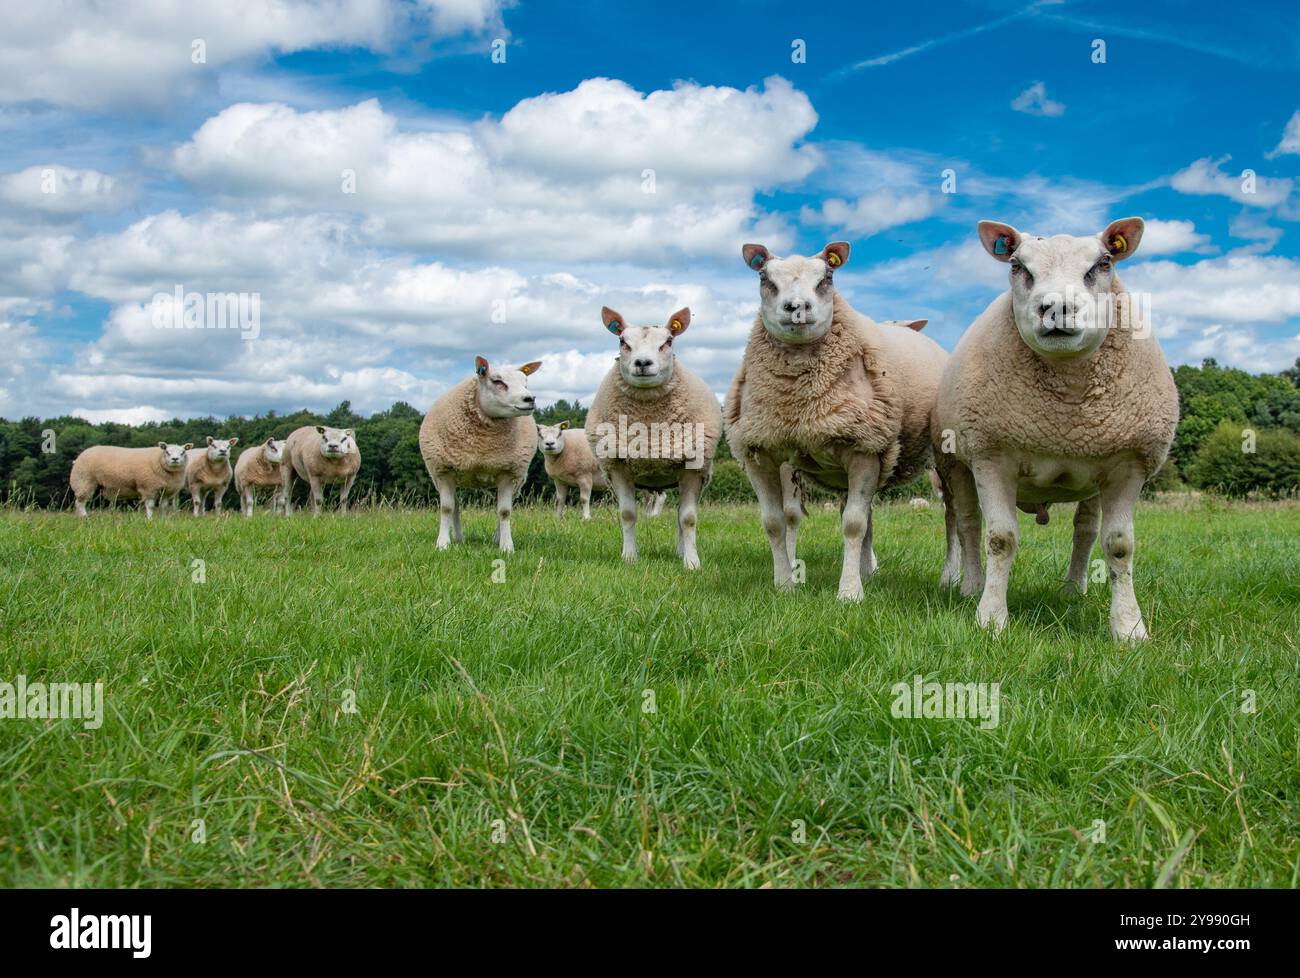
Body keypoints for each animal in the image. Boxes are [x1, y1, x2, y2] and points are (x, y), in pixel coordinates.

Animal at [420, 357, 541, 551]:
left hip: (519, 479)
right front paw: (443, 543)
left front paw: (506, 546)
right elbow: (446, 508)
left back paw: (496, 538)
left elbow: (504, 511)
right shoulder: (443, 471)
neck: (481, 448)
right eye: (497, 381)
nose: (529, 399)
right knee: (456, 506)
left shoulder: (508, 473)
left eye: (525, 382)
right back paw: (459, 538)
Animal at [585, 306, 722, 569]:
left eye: (668, 341)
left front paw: (692, 563)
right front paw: (629, 557)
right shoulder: (617, 464)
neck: (649, 429)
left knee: (680, 515)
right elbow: (627, 514)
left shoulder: (692, 465)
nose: (642, 363)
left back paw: (681, 551)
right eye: (622, 341)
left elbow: (688, 518)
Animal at [725, 242, 953, 601]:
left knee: (954, 516)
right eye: (764, 277)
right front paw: (785, 584)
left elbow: (853, 524)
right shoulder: (760, 450)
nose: (797, 308)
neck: (799, 400)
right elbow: (775, 522)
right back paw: (867, 570)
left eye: (828, 277)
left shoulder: (865, 448)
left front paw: (849, 593)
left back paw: (951, 576)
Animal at [932, 217, 1179, 641]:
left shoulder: (1129, 464)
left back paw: (1072, 589)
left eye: (1104, 263)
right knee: (968, 525)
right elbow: (1000, 539)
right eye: (1018, 266)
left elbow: (1119, 546)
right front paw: (991, 618)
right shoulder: (991, 455)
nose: (1058, 307)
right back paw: (972, 586)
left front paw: (1129, 627)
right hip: (956, 464)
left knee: (1085, 531)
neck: (1065, 417)